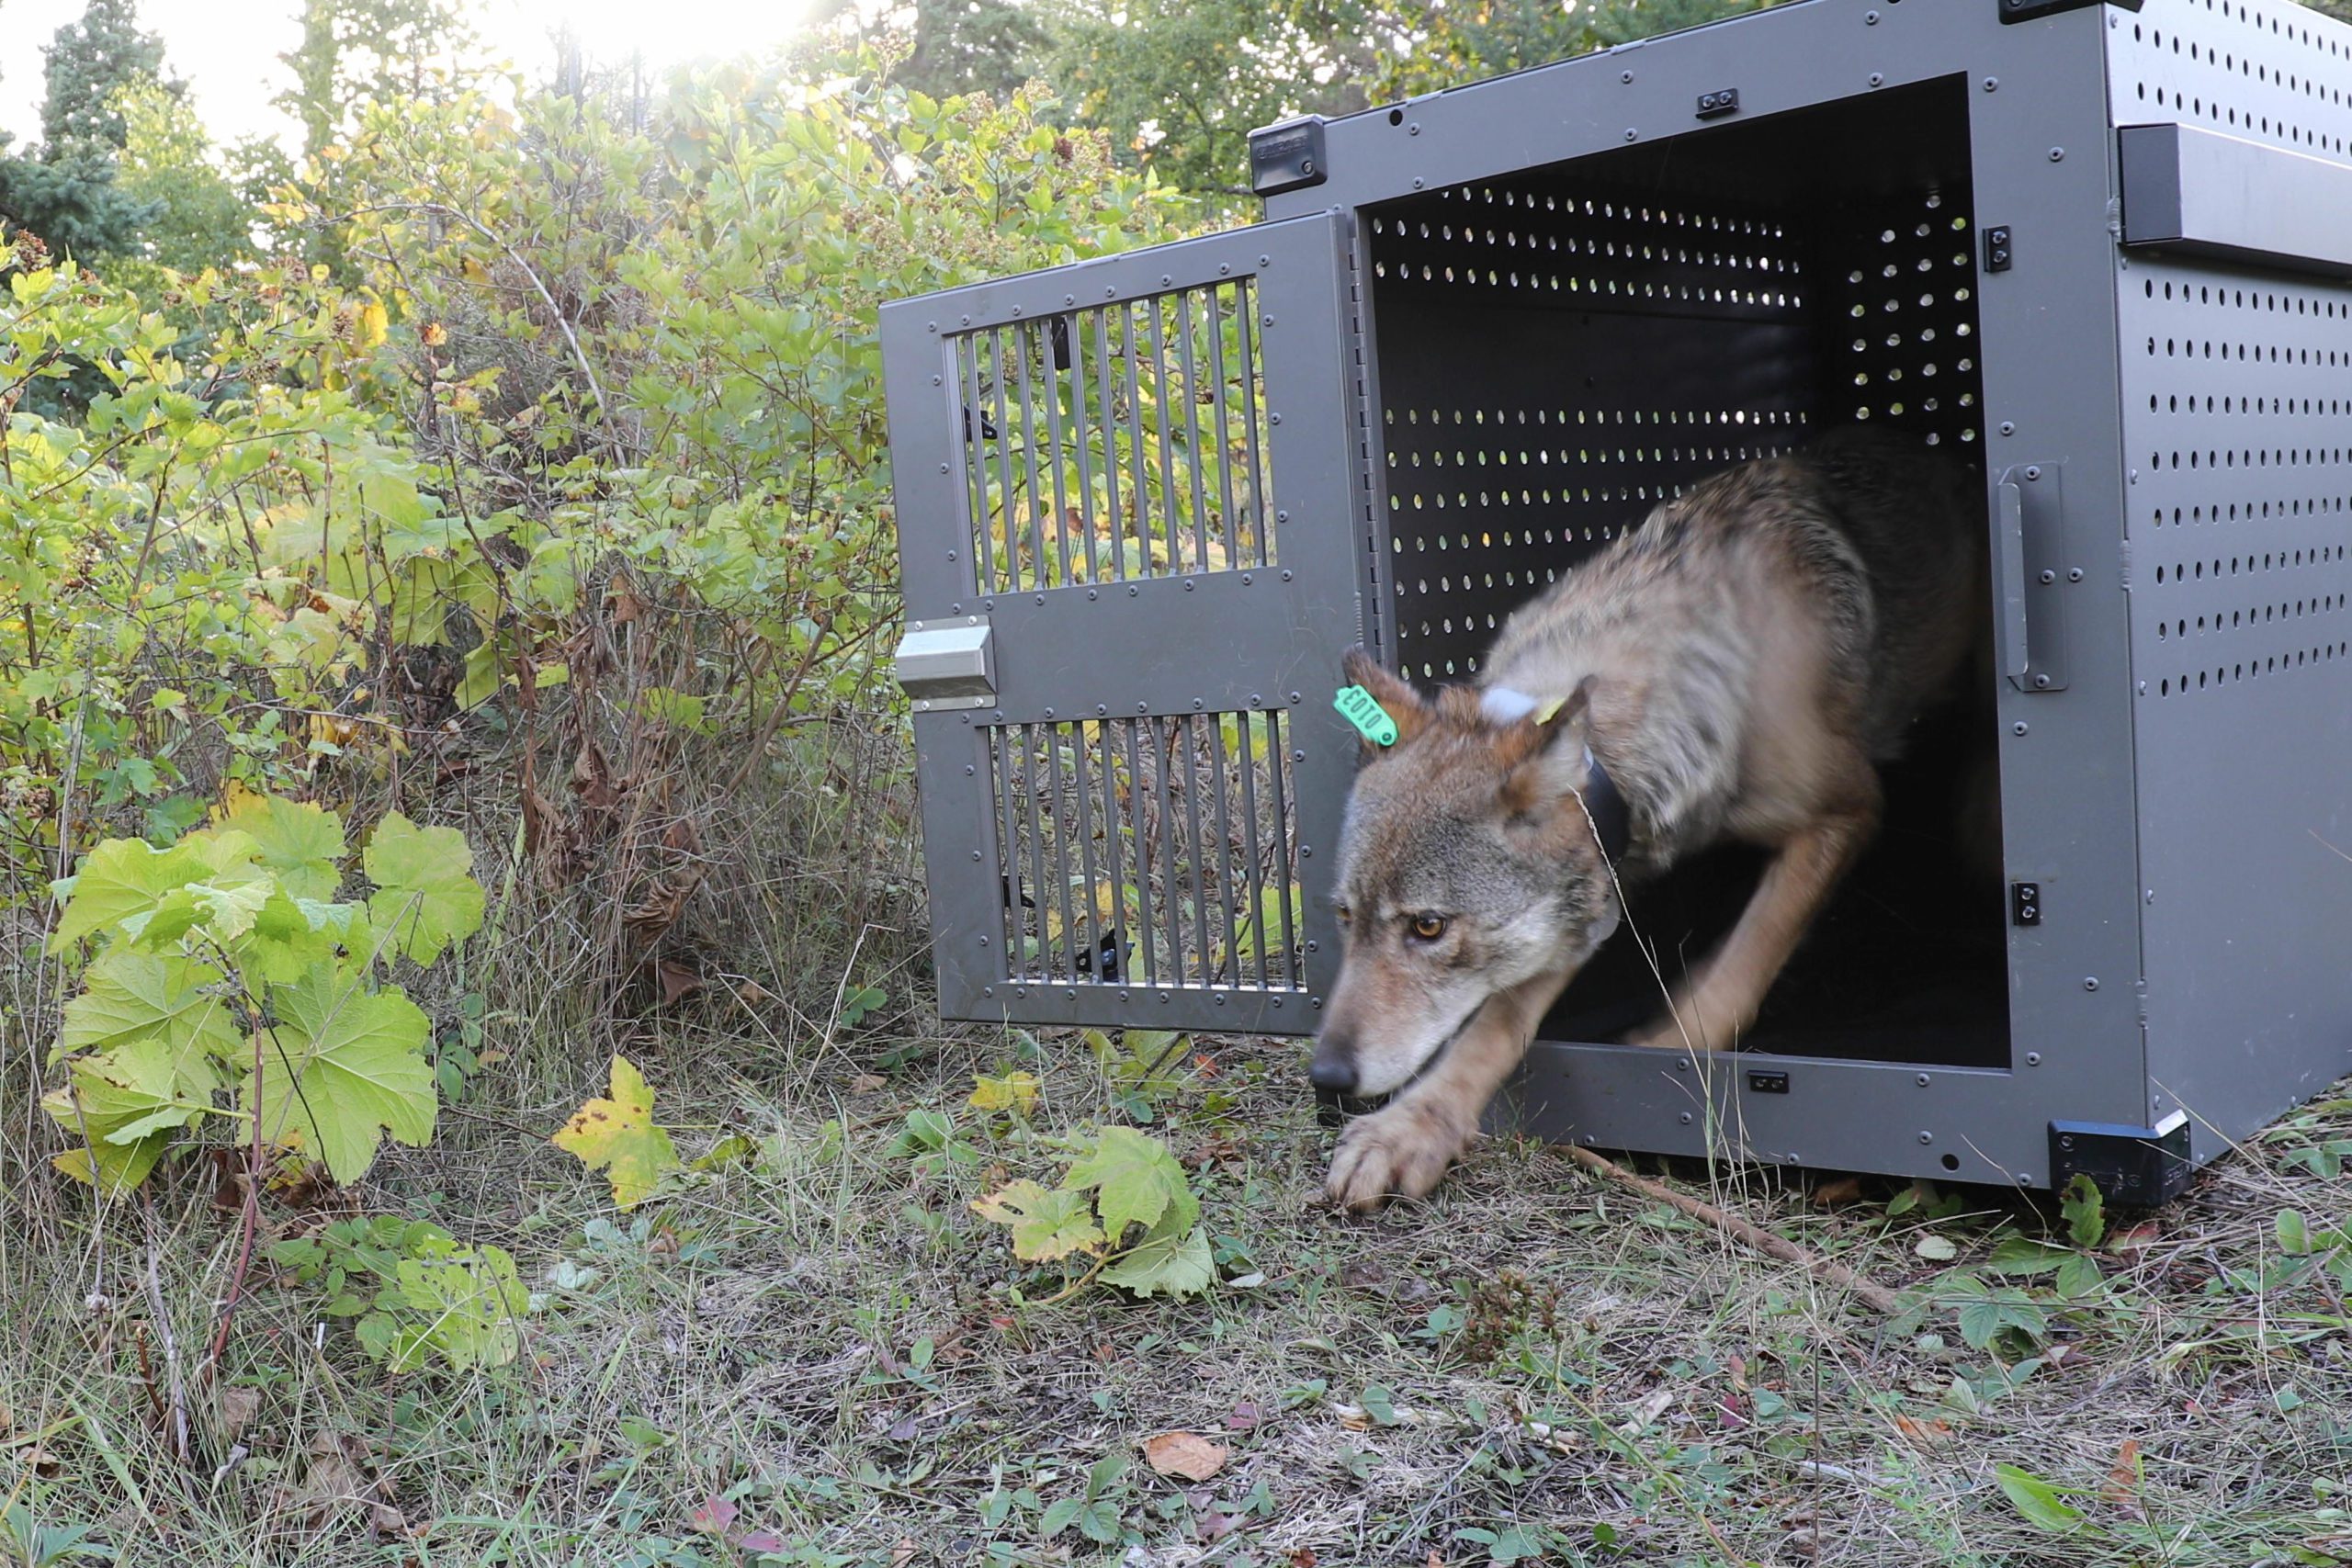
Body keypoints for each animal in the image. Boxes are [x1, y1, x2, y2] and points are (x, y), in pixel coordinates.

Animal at [1312, 426, 1985, 1211]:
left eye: (1427, 927)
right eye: (1346, 917)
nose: (1325, 1078)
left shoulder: (1847, 808)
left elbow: (1747, 954)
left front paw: (1668, 1053)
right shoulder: (1596, 882)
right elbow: (1495, 1022)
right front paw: (1411, 1127)